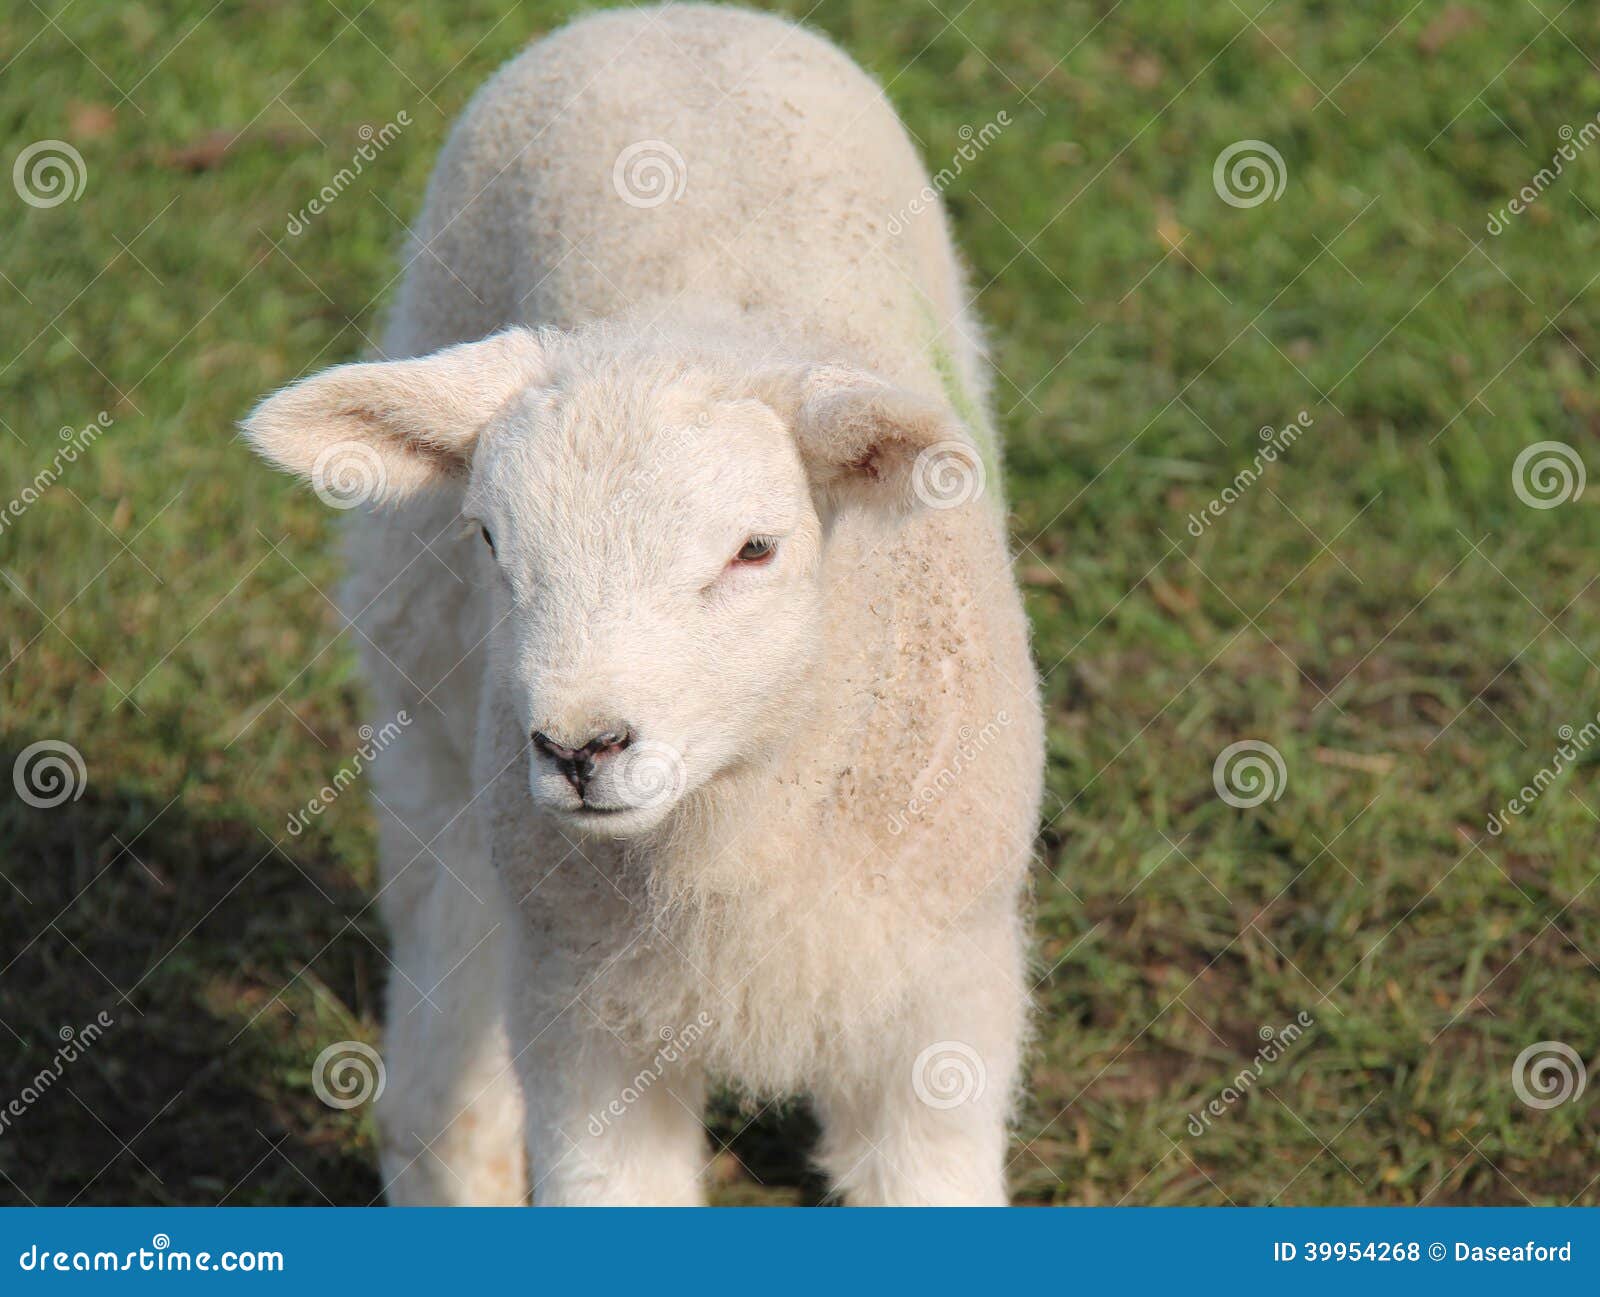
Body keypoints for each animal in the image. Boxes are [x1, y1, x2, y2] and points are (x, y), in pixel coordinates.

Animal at [244, 2, 1044, 1207]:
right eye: (493, 538)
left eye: (755, 549)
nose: (581, 747)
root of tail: (667, 16)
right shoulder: (588, 1025)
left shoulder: (937, 1018)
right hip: (429, 704)